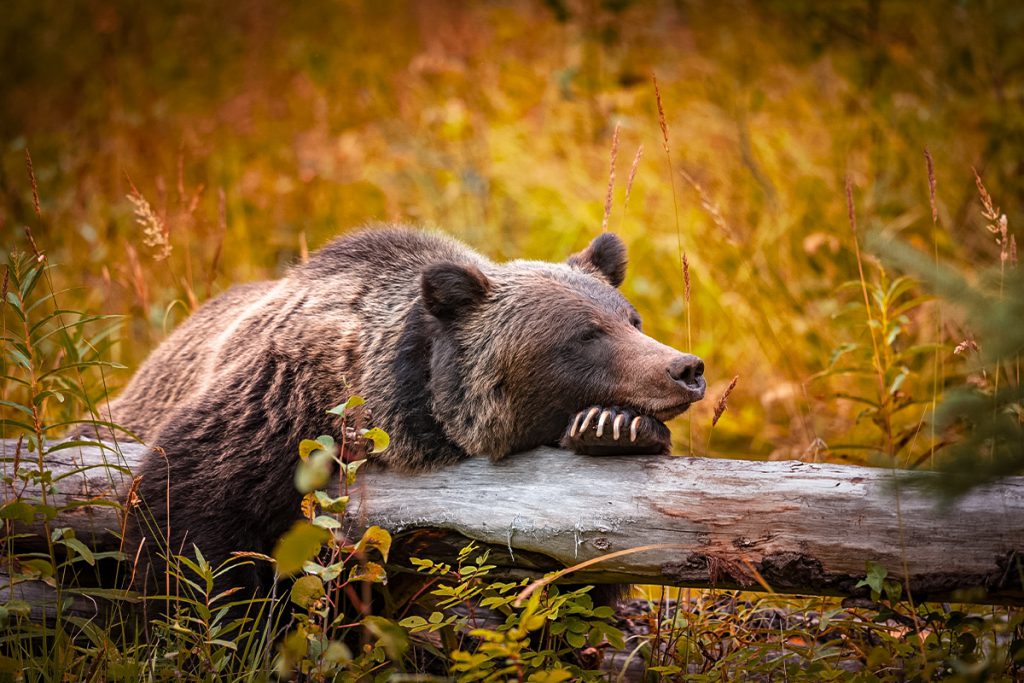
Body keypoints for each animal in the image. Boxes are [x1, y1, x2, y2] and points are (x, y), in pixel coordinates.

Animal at [102, 226, 706, 603]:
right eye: (585, 335)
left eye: (632, 318)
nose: (685, 368)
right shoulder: (276, 410)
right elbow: (187, 519)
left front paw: (615, 427)